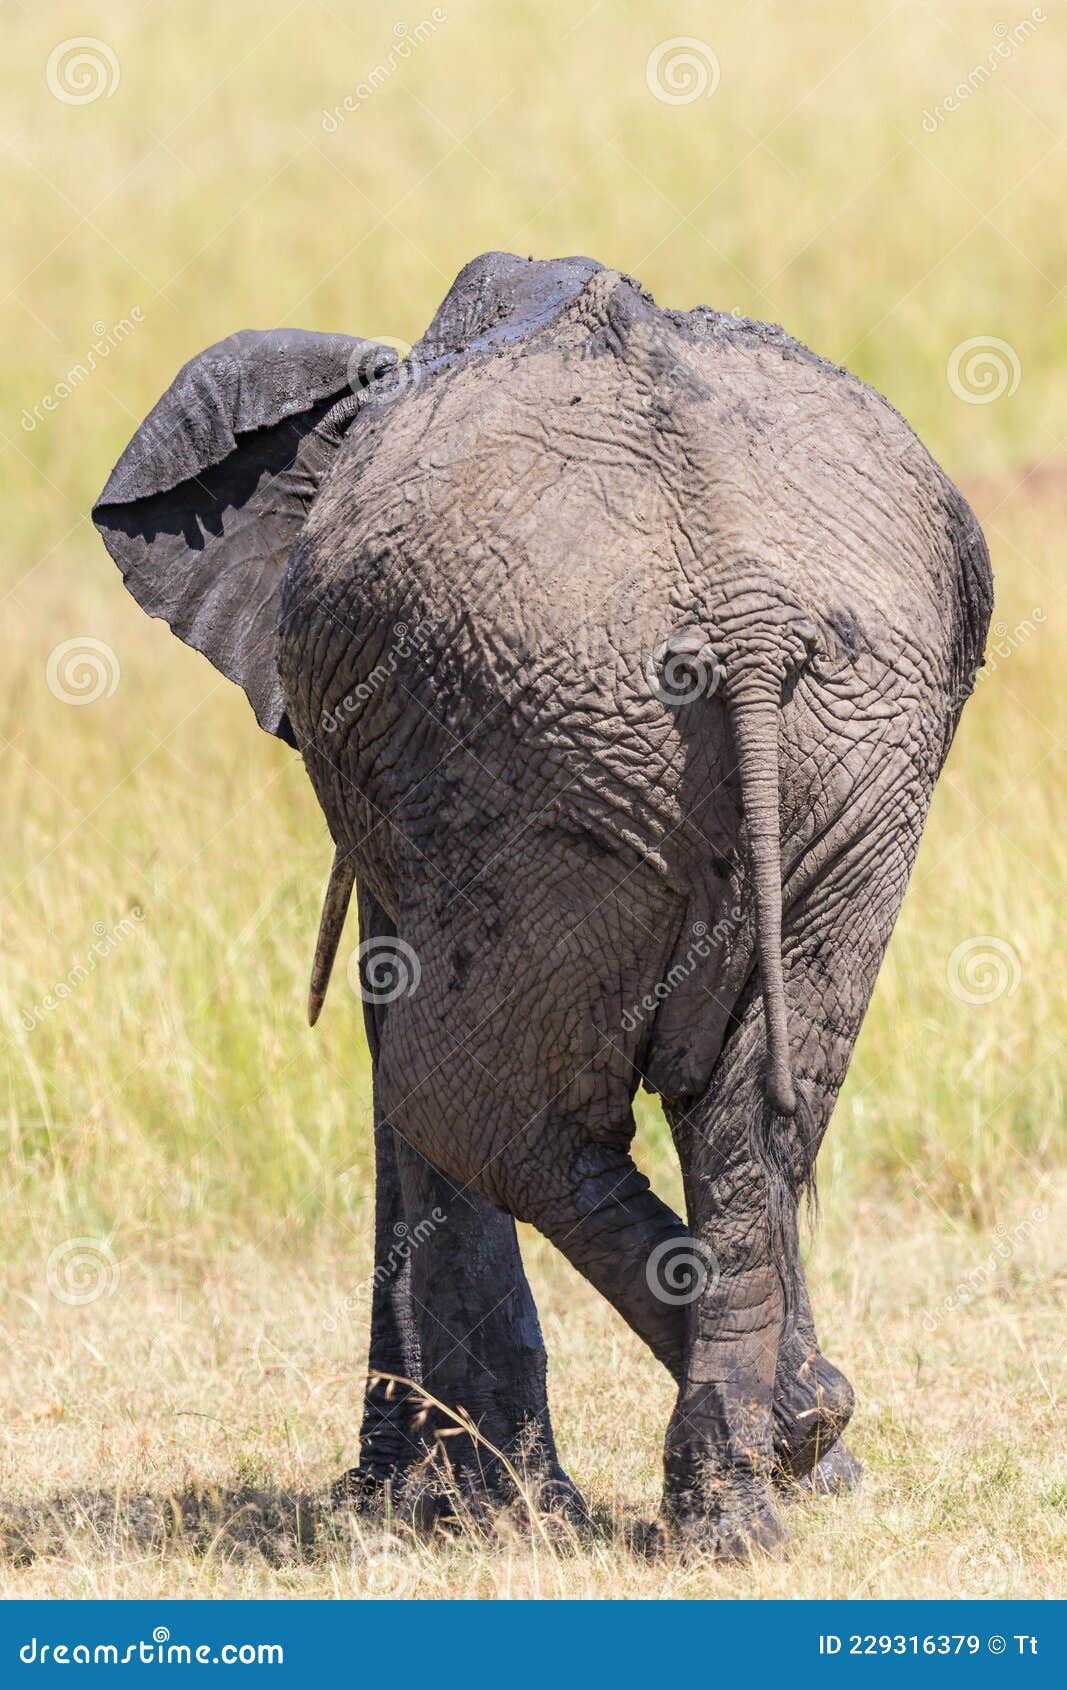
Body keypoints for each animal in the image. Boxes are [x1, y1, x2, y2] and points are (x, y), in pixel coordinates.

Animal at [93, 251, 992, 1555]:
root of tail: (741, 611)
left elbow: (396, 1050)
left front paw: (438, 1510)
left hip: (546, 738)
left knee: (463, 1096)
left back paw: (757, 1453)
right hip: (834, 754)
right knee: (755, 1112)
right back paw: (760, 1481)